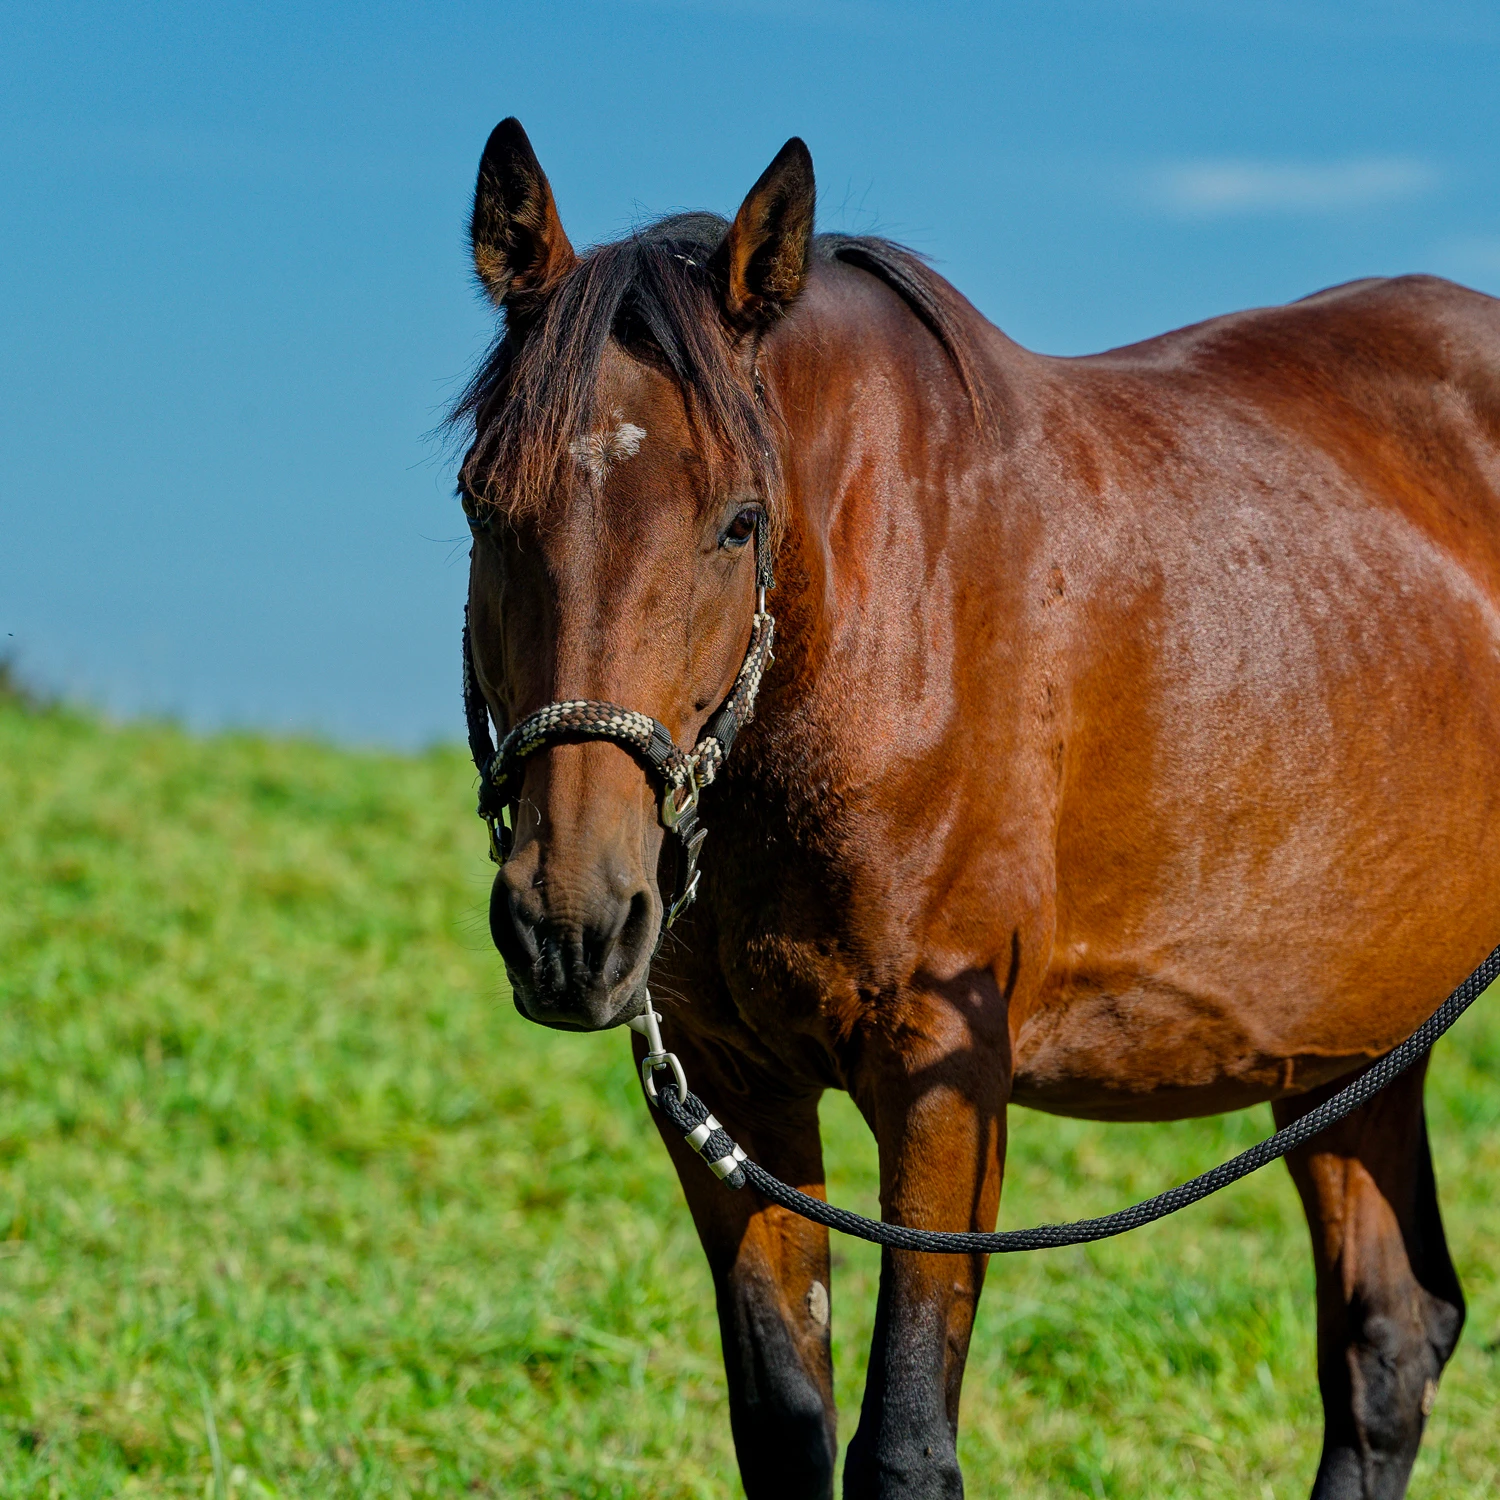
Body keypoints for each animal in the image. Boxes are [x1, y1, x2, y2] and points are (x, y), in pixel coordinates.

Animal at [452, 118, 1500, 1499]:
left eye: (738, 523)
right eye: (482, 502)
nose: (568, 922)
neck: (884, 622)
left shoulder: (946, 1075)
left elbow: (903, 1445)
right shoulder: (729, 1088)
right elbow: (784, 1424)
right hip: (1350, 1039)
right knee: (1388, 1341)